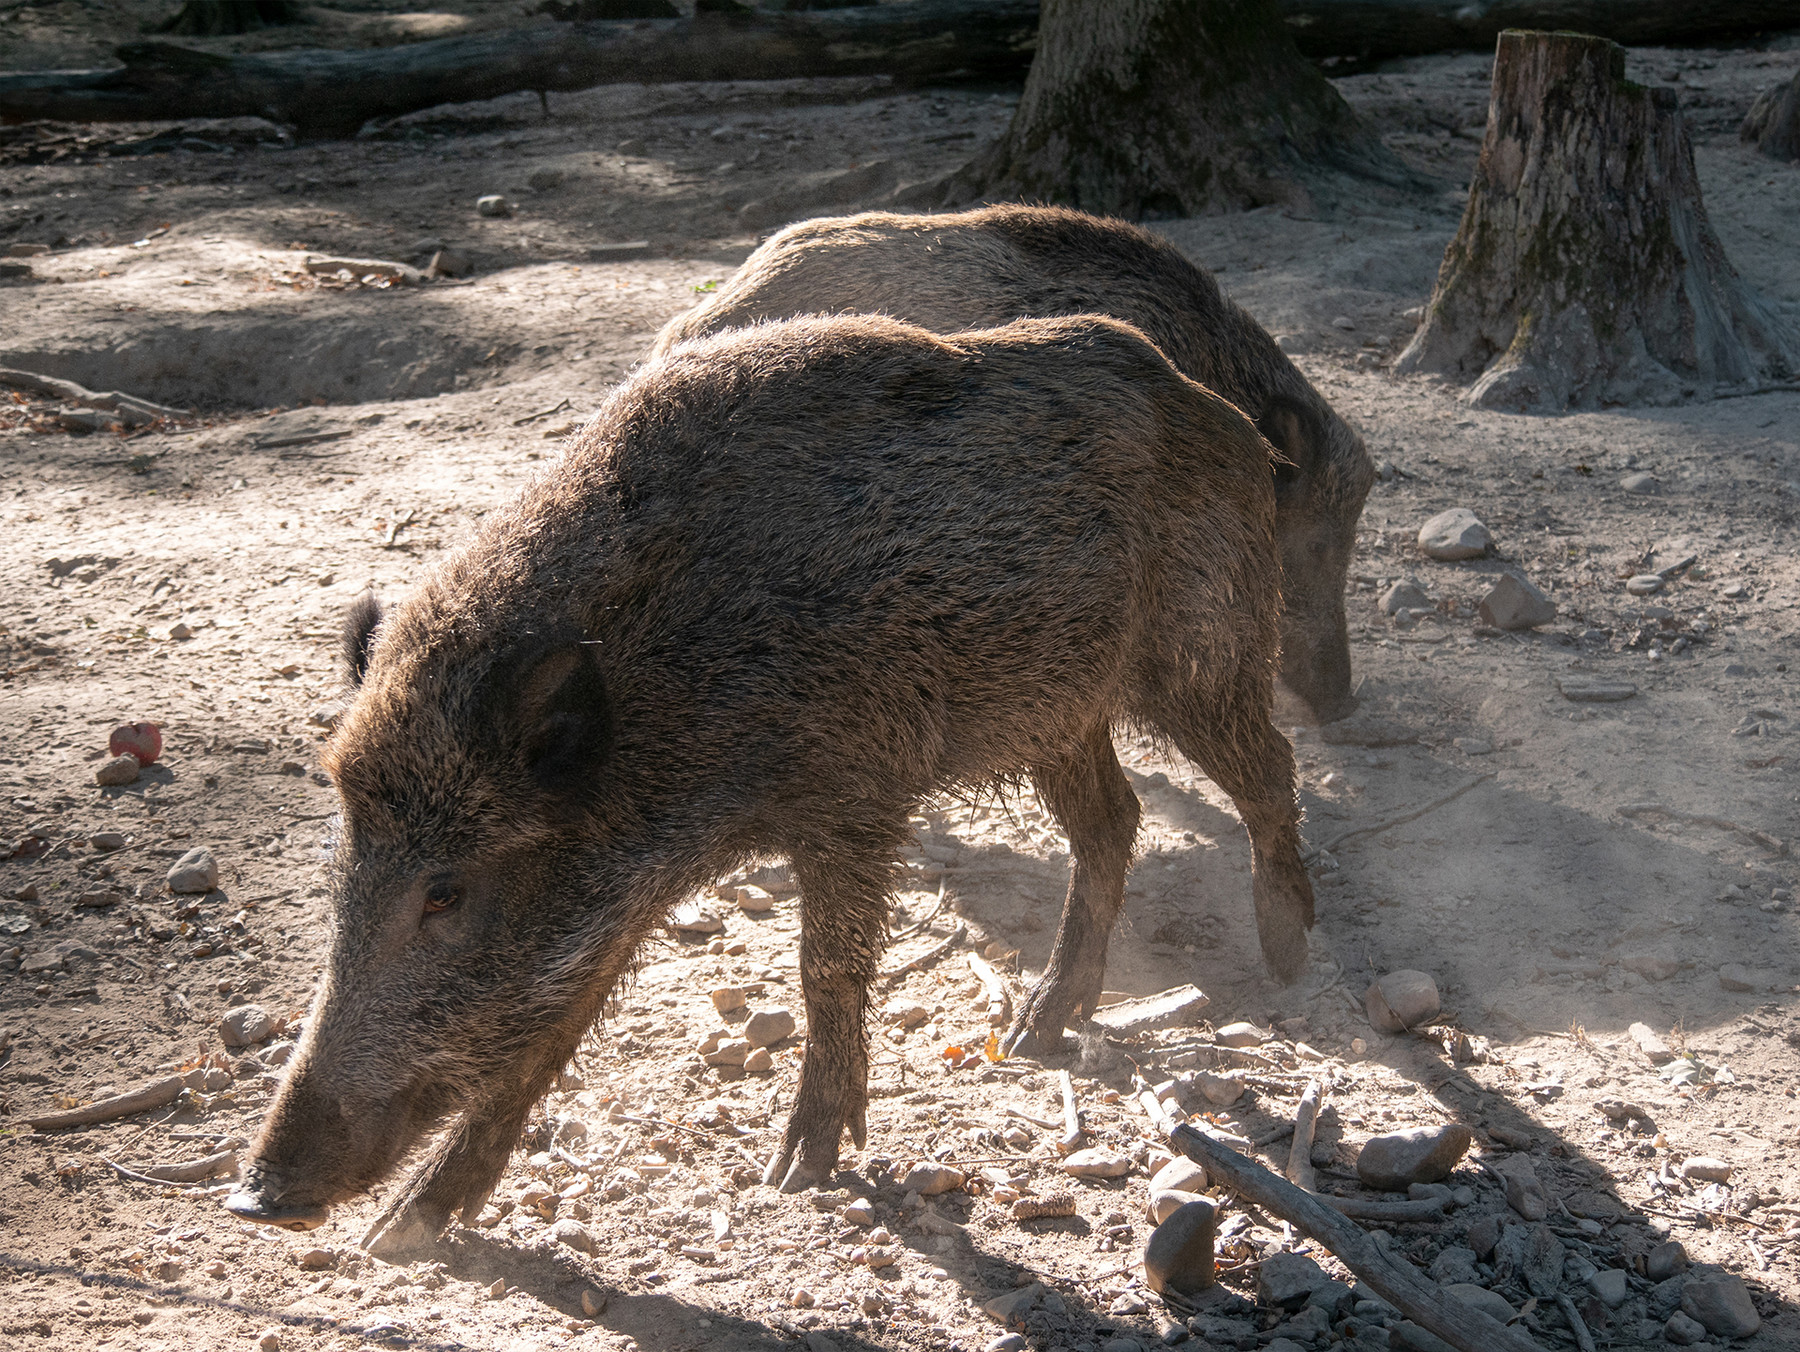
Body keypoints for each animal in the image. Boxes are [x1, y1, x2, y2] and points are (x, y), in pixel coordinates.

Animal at [224, 313, 1313, 1252]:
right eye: (342, 876)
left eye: (445, 892)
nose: (257, 1196)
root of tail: (1234, 425)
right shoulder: (614, 900)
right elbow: (542, 1041)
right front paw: (401, 1235)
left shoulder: (854, 796)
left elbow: (825, 972)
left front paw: (794, 1173)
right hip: (1056, 711)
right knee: (1114, 820)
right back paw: (1035, 1028)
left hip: (1200, 654)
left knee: (1269, 772)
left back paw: (1287, 956)